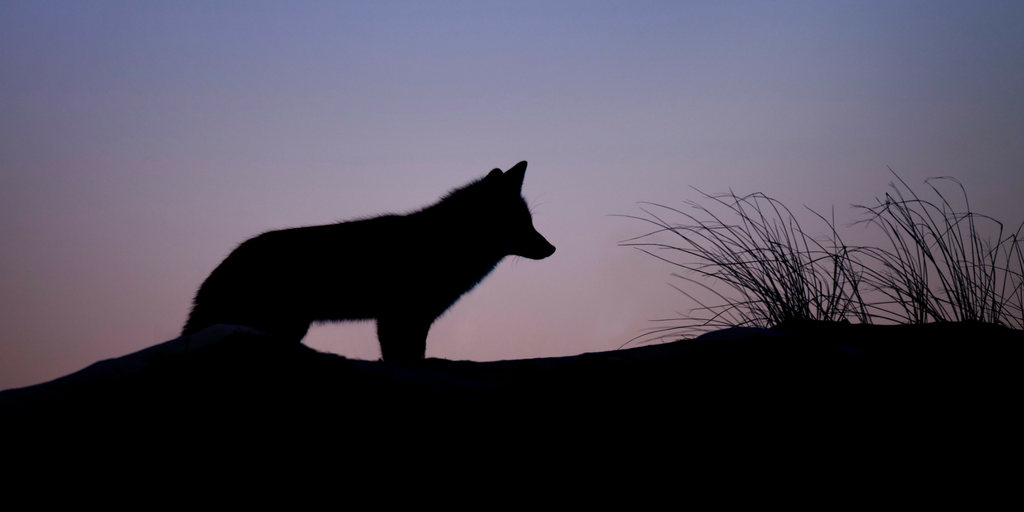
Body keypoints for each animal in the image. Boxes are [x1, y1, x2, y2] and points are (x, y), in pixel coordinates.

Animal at [182, 161, 555, 361]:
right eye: (520, 224)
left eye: (530, 222)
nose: (552, 249)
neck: (445, 244)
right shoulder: (398, 317)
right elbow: (402, 358)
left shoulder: (414, 319)